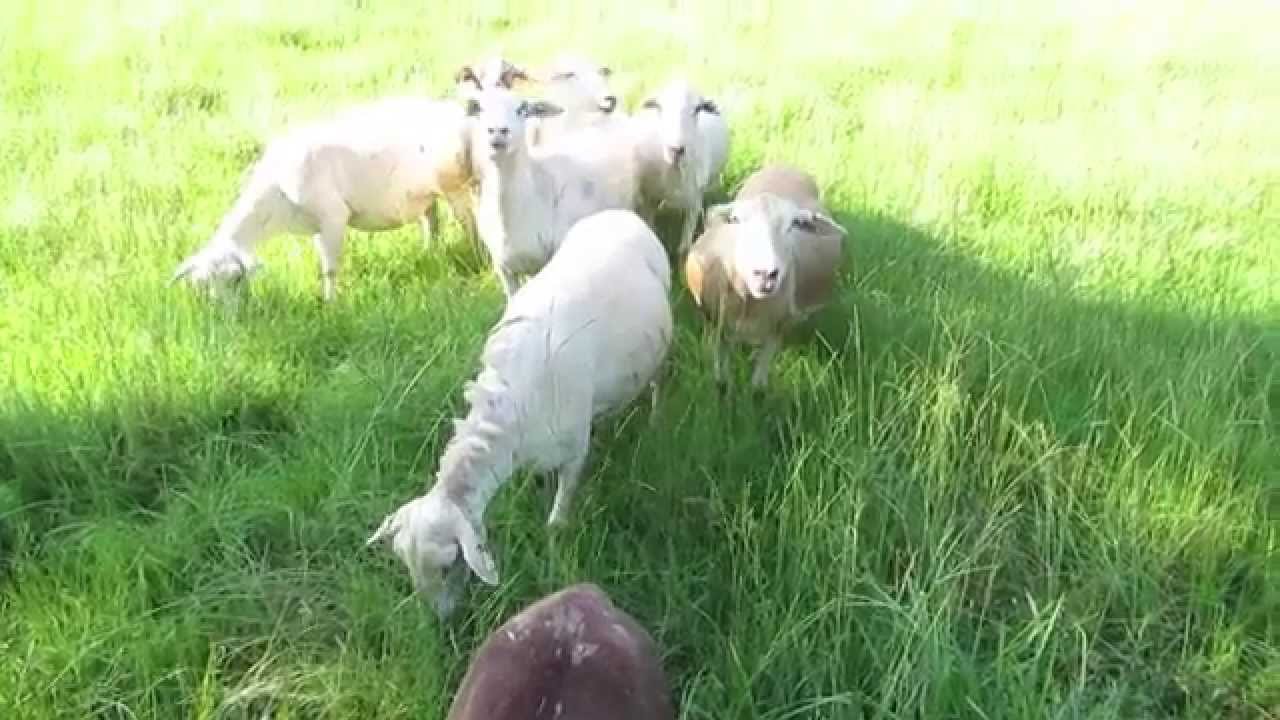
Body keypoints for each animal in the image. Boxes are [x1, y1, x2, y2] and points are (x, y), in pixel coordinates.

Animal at [170, 95, 474, 301]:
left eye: (236, 279)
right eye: (201, 286)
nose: (229, 316)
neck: (274, 199)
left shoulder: (333, 216)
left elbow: (330, 268)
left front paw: (331, 303)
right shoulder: (317, 226)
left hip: (456, 185)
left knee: (468, 222)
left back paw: (476, 258)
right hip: (426, 192)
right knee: (432, 221)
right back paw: (430, 253)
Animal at [366, 209, 672, 617]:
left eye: (448, 566)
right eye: (408, 566)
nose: (441, 622)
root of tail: (620, 213)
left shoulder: (573, 450)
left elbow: (559, 515)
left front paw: (556, 542)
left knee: (658, 381)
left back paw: (656, 420)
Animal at [632, 77, 730, 253]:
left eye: (698, 109)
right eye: (659, 106)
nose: (676, 150)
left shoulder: (695, 202)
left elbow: (684, 248)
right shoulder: (650, 198)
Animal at [683, 164, 846, 389]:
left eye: (794, 224)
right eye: (736, 220)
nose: (766, 274)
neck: (751, 304)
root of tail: (785, 167)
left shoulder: (777, 330)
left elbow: (758, 386)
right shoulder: (716, 323)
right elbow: (720, 377)